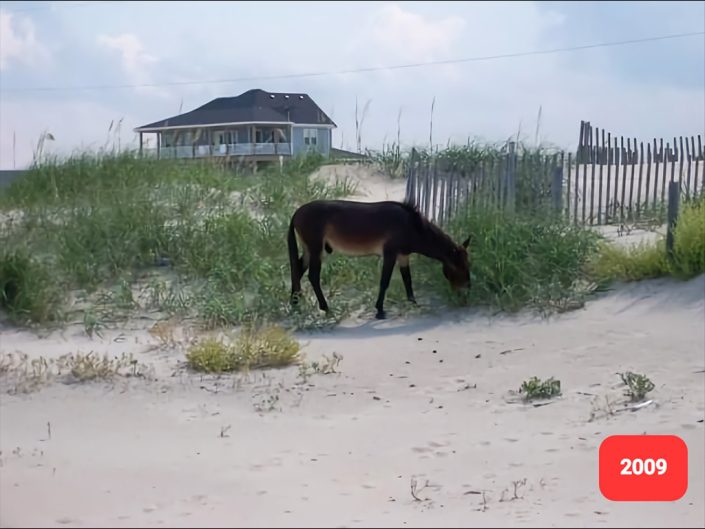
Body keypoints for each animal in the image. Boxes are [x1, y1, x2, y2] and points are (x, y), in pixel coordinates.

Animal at [287, 199, 472, 320]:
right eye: (461, 266)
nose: (467, 290)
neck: (413, 226)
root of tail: (296, 212)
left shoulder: (403, 256)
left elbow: (408, 280)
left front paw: (413, 303)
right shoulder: (390, 253)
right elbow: (385, 281)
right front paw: (380, 310)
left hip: (310, 249)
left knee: (297, 269)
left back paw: (295, 303)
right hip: (316, 249)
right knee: (312, 276)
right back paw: (326, 309)